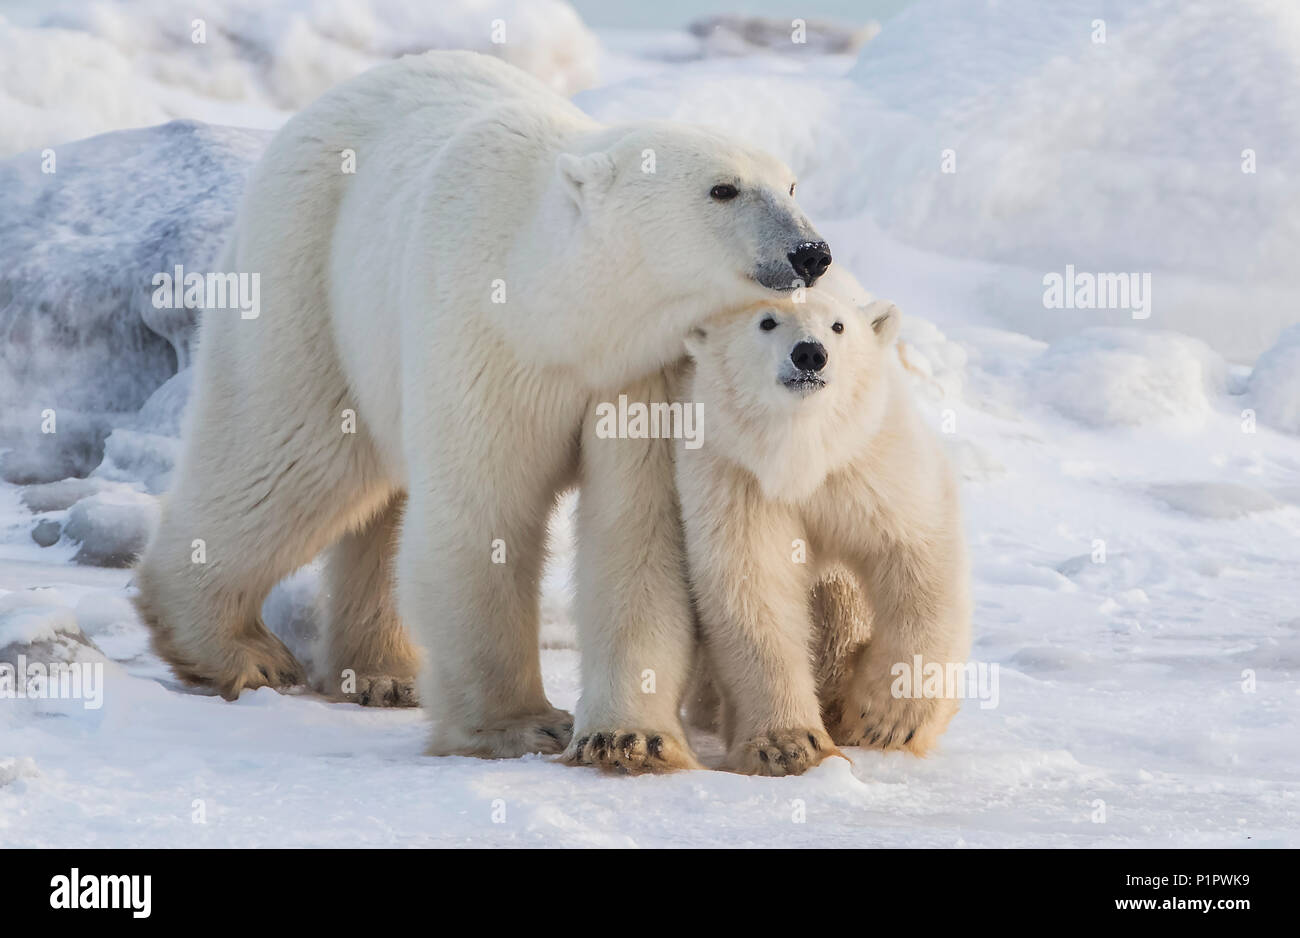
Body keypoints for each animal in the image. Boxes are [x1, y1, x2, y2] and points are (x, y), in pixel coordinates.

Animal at [132, 50, 833, 773]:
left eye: (791, 185)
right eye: (724, 189)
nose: (812, 253)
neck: (555, 308)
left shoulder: (645, 372)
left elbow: (642, 530)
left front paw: (628, 738)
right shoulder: (482, 335)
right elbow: (486, 513)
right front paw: (520, 726)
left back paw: (385, 672)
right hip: (306, 274)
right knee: (289, 455)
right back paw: (237, 649)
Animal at [674, 281, 970, 776]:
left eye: (838, 325)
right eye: (767, 321)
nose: (810, 354)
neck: (804, 452)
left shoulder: (870, 462)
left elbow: (917, 556)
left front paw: (888, 722)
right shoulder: (736, 477)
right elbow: (753, 586)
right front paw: (787, 745)